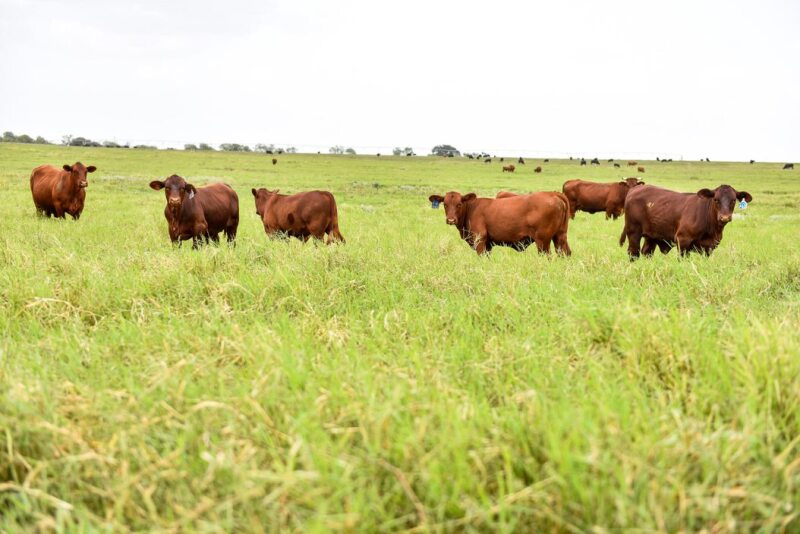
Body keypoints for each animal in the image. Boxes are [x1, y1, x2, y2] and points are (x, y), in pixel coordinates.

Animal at [427, 191, 571, 255]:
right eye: (445, 204)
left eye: (459, 204)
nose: (451, 220)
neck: (471, 209)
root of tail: (553, 194)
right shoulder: (488, 245)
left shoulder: (480, 240)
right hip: (560, 236)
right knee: (566, 253)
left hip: (543, 241)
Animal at [620, 184, 752, 258]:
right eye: (716, 199)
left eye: (733, 200)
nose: (724, 217)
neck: (713, 230)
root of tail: (635, 188)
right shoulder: (683, 241)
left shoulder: (709, 248)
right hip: (633, 233)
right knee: (633, 253)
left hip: (652, 236)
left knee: (647, 253)